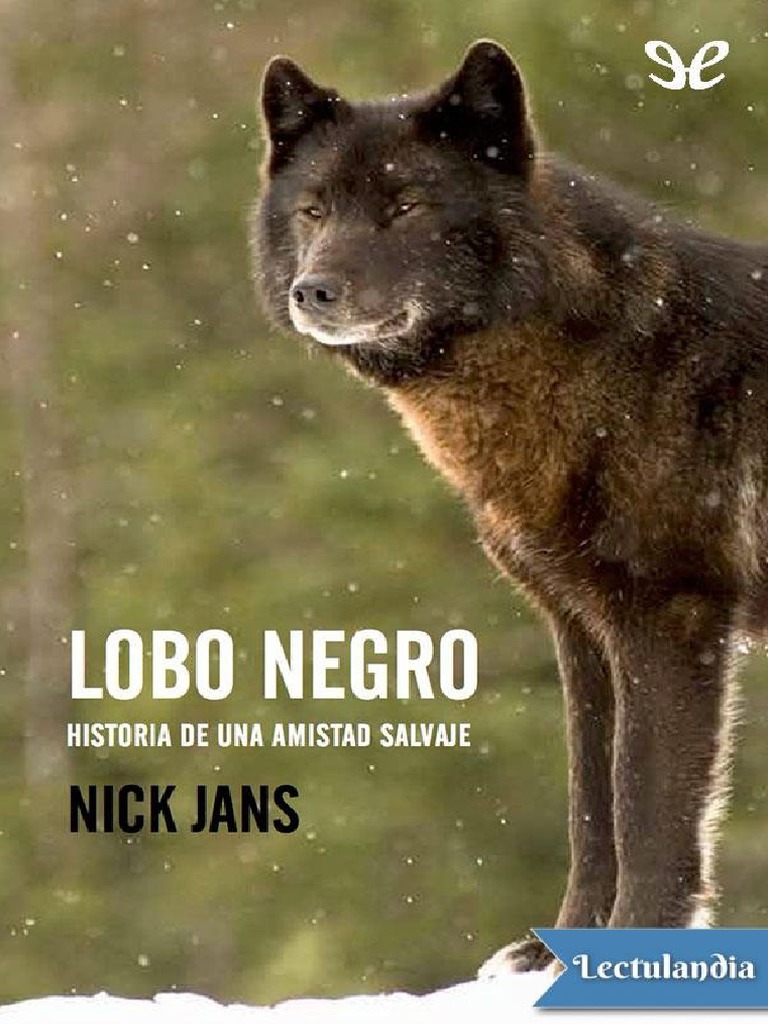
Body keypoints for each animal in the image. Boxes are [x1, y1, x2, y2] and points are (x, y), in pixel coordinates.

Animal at [252, 40, 768, 973]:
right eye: (313, 210)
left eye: (407, 206)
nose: (314, 291)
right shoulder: (582, 630)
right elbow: (591, 807)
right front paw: (553, 955)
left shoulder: (668, 618)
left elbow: (644, 809)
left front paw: (636, 954)